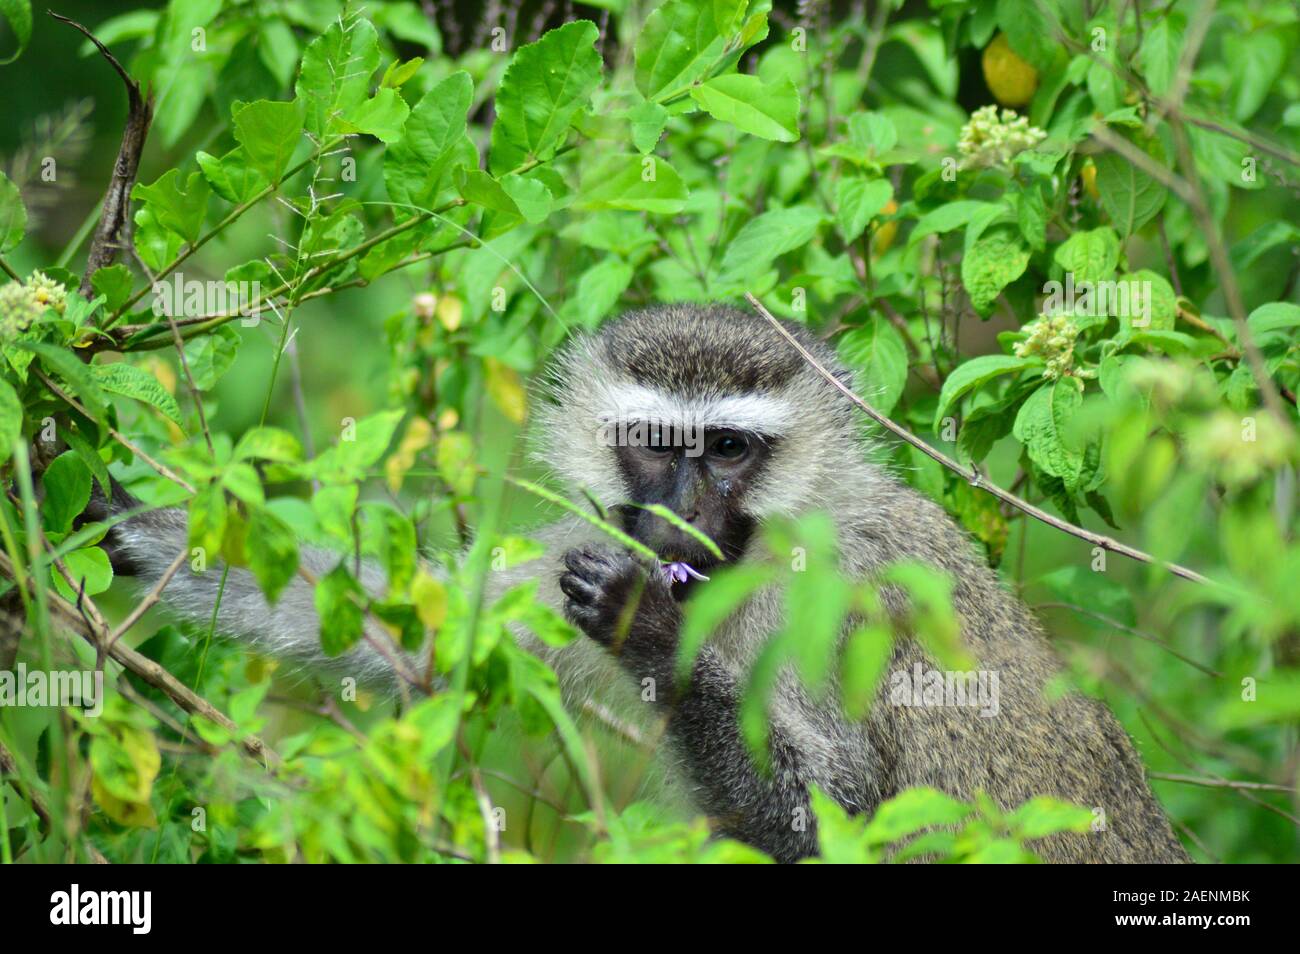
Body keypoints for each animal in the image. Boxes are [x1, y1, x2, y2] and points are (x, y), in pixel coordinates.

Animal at [93, 303, 1190, 863]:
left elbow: (845, 813)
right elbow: (423, 635)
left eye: (728, 450)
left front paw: (651, 635)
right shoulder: (582, 548)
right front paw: (125, 530)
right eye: (657, 444)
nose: (677, 516)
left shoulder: (859, 591)